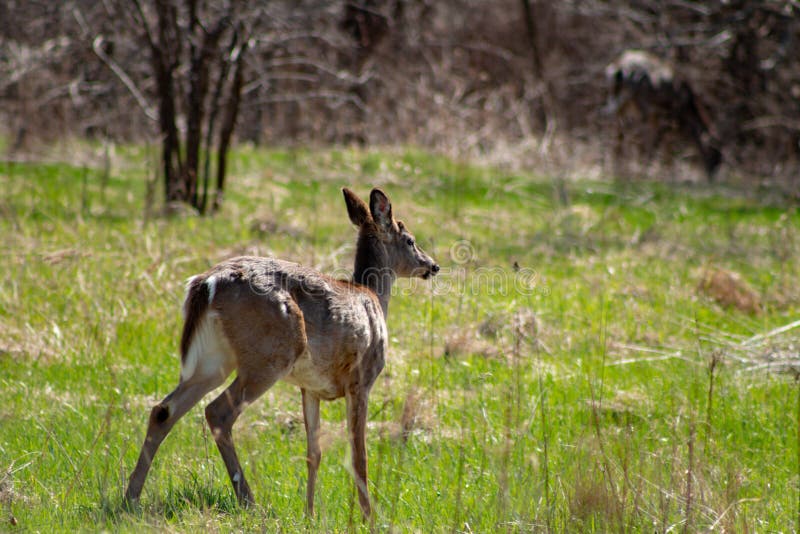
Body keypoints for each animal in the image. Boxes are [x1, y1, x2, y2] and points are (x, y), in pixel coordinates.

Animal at [123, 187, 439, 519]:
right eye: (410, 240)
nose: (433, 265)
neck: (373, 296)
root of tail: (207, 283)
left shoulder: (310, 387)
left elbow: (314, 452)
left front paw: (310, 514)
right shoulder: (361, 379)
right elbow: (359, 455)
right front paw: (369, 516)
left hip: (214, 359)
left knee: (164, 410)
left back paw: (130, 497)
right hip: (270, 354)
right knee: (218, 412)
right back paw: (248, 500)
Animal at [605, 49, 722, 181]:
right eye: (714, 152)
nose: (712, 175)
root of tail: (618, 68)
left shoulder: (656, 116)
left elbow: (656, 141)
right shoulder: (669, 114)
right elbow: (665, 143)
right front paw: (667, 174)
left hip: (617, 97)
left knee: (616, 127)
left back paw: (615, 171)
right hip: (639, 99)